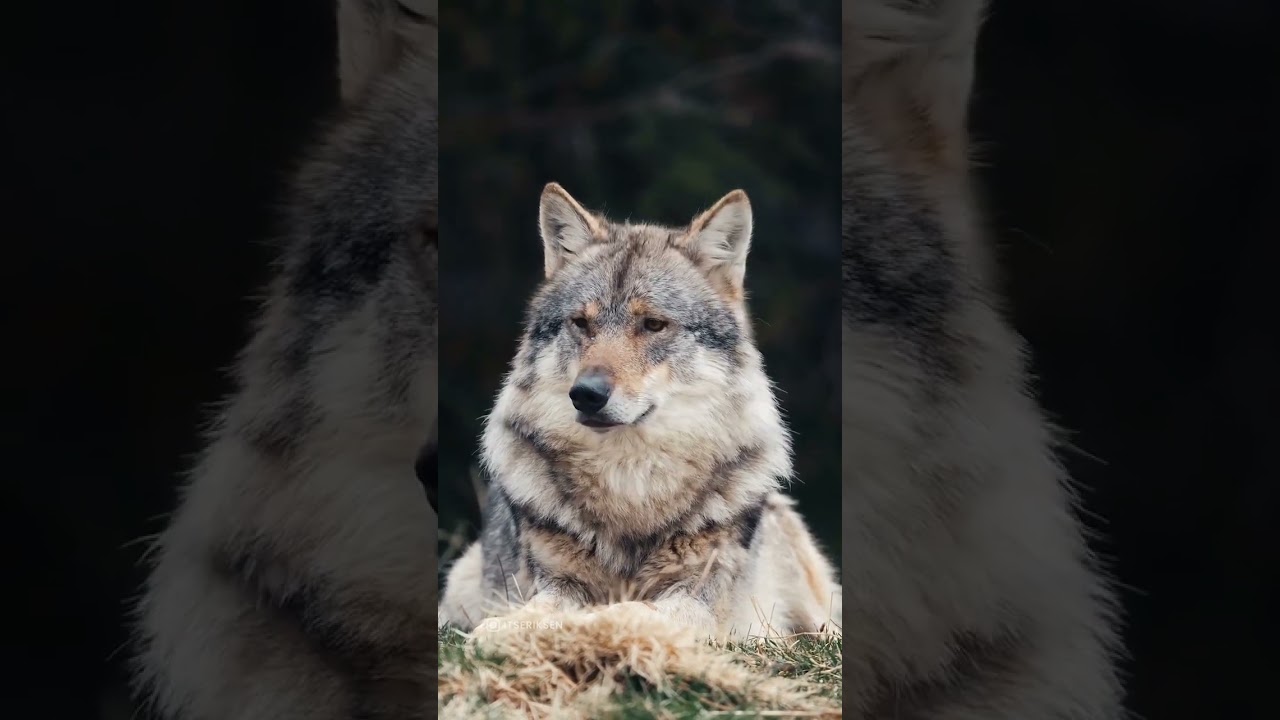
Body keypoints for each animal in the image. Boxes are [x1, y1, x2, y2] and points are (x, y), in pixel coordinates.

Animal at [437, 183, 842, 640]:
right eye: (581, 323)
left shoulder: (697, 599)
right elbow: (540, 609)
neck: (629, 483)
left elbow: (626, 611)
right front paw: (501, 629)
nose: (586, 394)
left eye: (652, 325)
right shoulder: (555, 583)